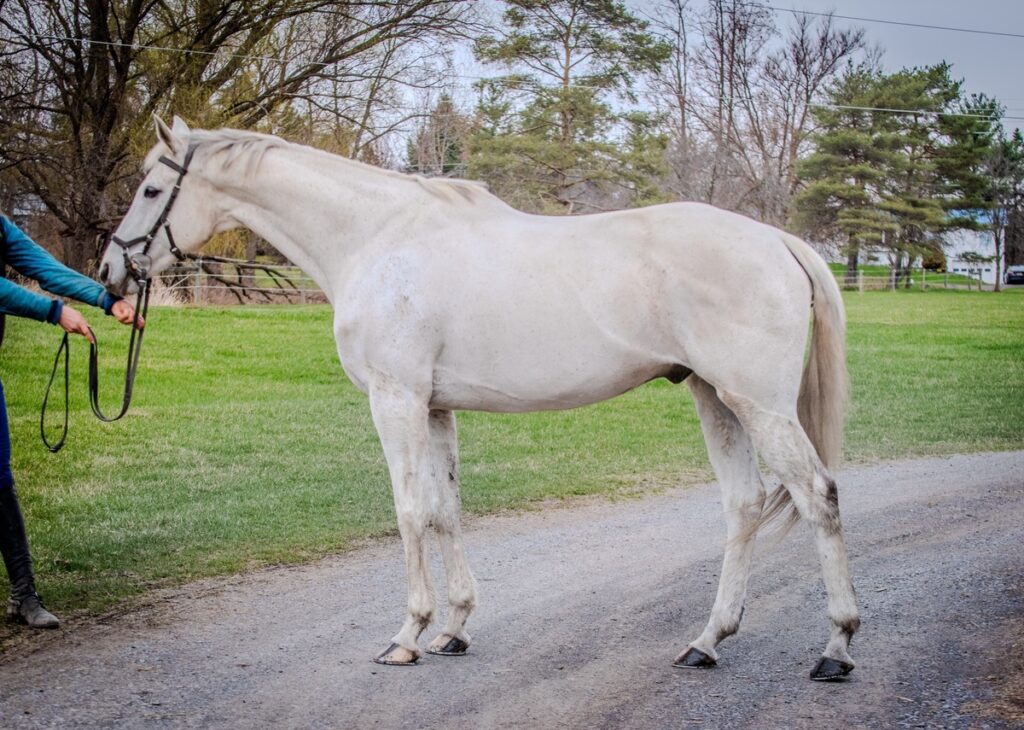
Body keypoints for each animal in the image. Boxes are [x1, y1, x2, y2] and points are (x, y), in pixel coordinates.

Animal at [99, 116, 859, 681]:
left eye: (150, 189)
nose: (111, 270)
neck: (377, 239)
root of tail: (781, 241)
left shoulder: (396, 400)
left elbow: (409, 512)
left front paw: (407, 635)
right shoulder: (435, 408)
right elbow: (446, 510)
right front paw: (455, 628)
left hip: (757, 404)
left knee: (818, 495)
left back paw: (837, 647)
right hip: (715, 398)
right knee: (745, 504)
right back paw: (707, 641)